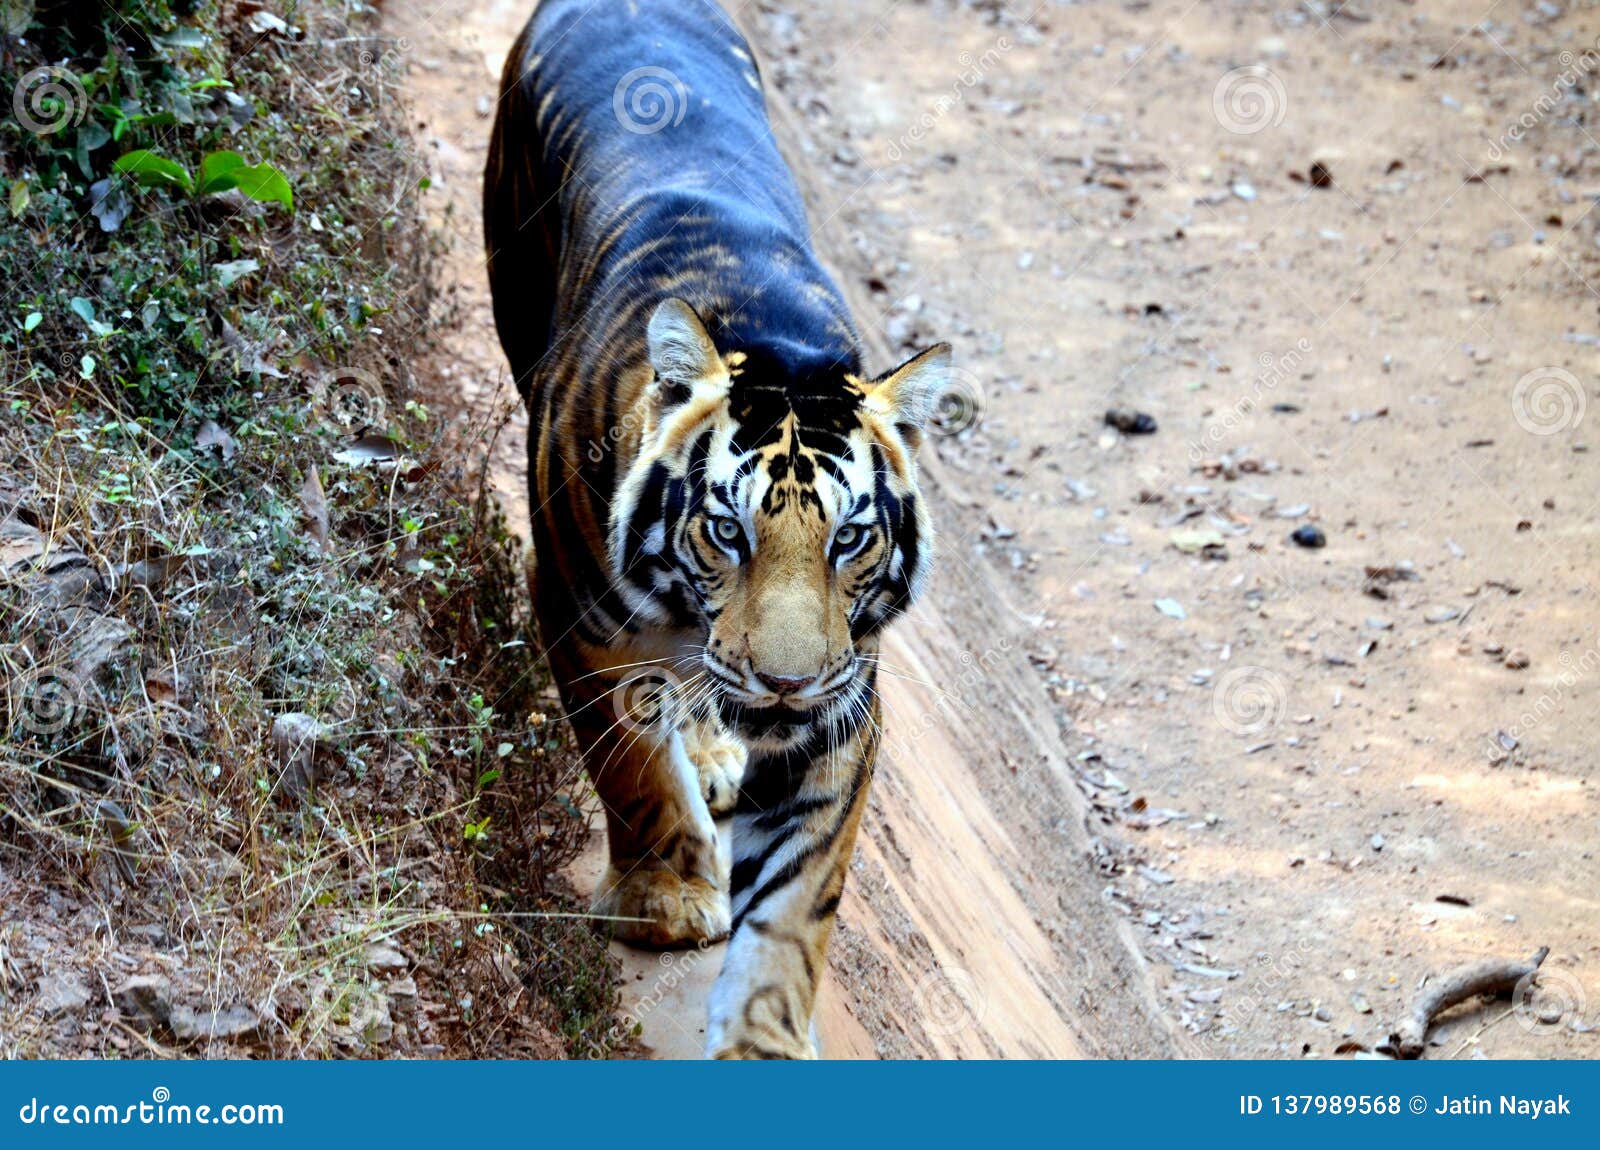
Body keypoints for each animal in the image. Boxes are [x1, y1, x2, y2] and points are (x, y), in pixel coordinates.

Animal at [484, 0, 950, 1059]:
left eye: (849, 540)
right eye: (728, 533)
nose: (783, 682)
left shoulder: (843, 695)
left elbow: (797, 901)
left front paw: (766, 1033)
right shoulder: (578, 617)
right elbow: (631, 765)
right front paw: (664, 901)